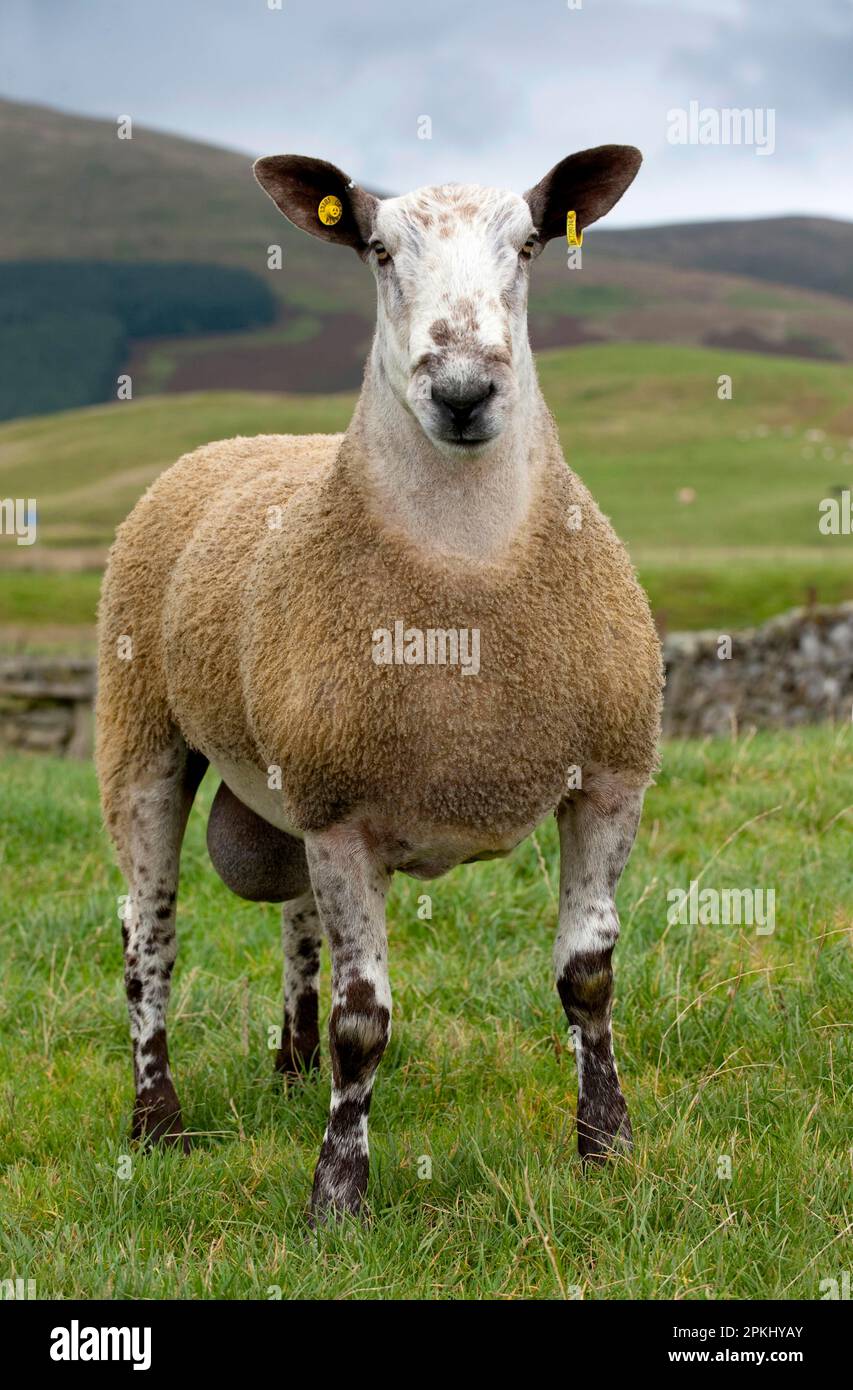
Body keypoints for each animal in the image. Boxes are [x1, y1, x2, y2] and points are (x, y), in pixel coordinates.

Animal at [96, 145, 662, 1221]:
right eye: (379, 251)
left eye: (530, 245)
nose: (465, 391)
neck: (465, 594)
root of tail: (236, 442)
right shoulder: (345, 816)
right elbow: (365, 1023)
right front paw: (338, 1196)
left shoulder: (609, 781)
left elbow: (587, 979)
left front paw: (607, 1147)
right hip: (141, 734)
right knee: (149, 938)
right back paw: (157, 1120)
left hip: (287, 783)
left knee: (296, 926)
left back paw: (288, 1066)